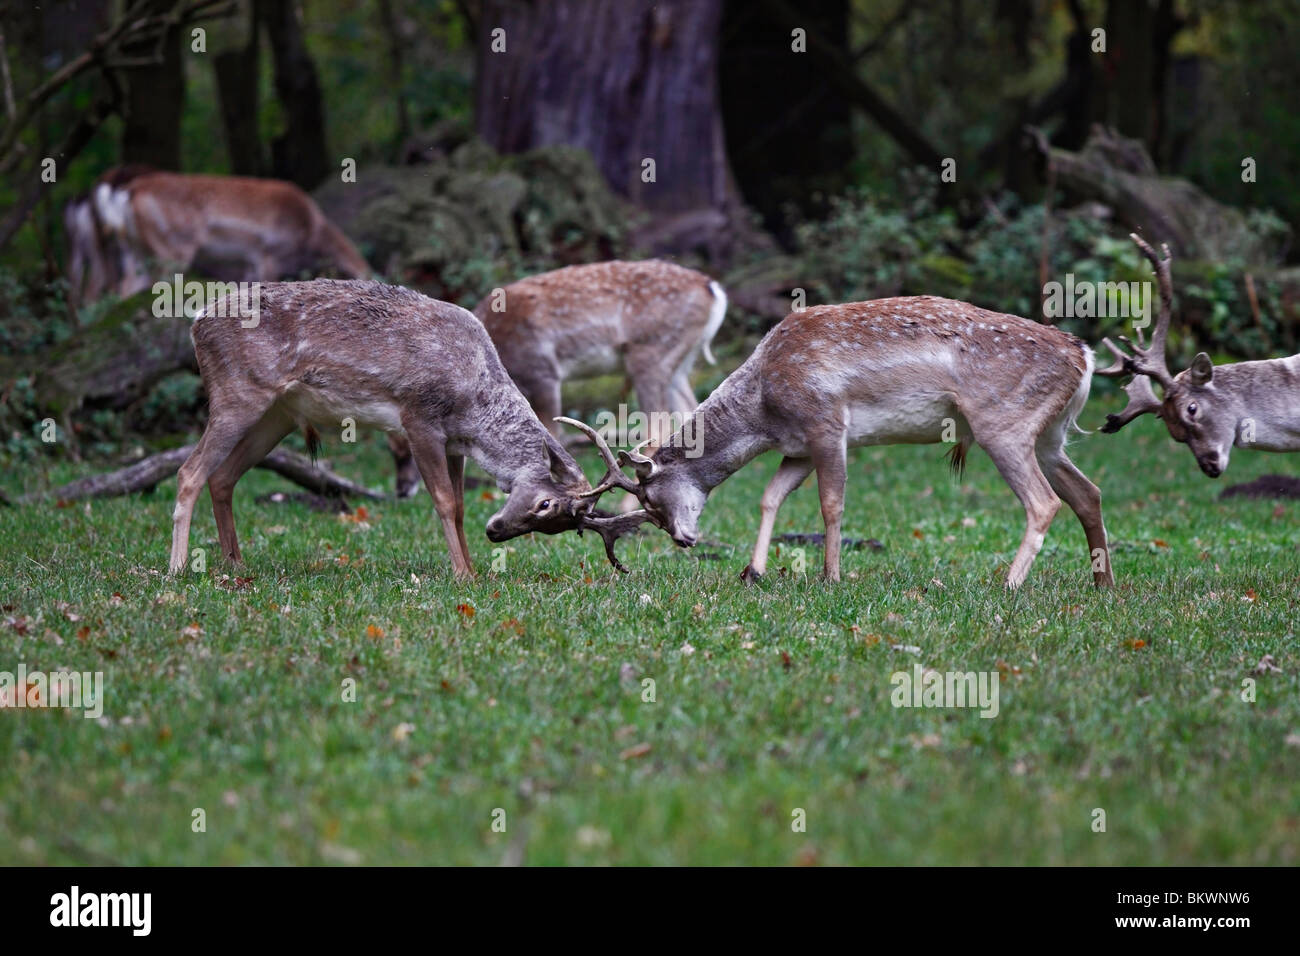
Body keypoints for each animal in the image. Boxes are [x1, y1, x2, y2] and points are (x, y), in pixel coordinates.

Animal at [168, 279, 644, 579]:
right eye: (546, 505)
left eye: (558, 524)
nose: (496, 532)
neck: (474, 398)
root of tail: (196, 322)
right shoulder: (419, 418)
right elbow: (444, 501)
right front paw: (463, 575)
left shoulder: (454, 443)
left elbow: (460, 505)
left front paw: (471, 567)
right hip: (237, 393)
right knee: (189, 472)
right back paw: (178, 569)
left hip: (277, 415)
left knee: (222, 477)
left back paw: (235, 564)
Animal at [557, 295, 1115, 589]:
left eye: (651, 499)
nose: (682, 539)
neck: (763, 409)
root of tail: (1085, 358)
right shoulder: (798, 447)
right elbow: (770, 496)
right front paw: (752, 571)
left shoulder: (826, 423)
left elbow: (831, 503)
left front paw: (831, 576)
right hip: (1051, 435)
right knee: (1088, 492)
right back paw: (1103, 585)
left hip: (1004, 423)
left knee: (1044, 502)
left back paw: (1009, 583)